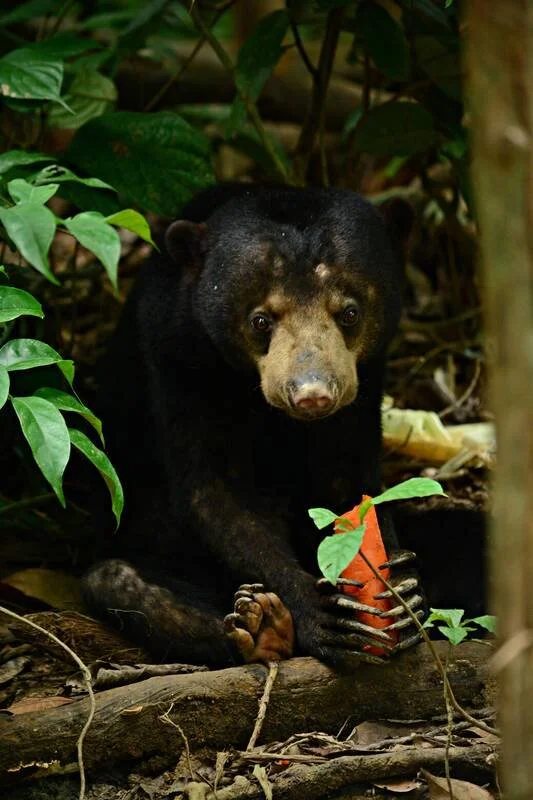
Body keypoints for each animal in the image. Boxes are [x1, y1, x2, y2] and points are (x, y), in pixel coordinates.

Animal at [83, 184, 426, 669]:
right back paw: (261, 626)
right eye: (260, 320)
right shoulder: (177, 362)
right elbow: (216, 497)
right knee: (114, 580)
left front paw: (403, 594)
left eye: (350, 312)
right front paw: (329, 619)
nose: (313, 394)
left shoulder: (364, 385)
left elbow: (351, 486)